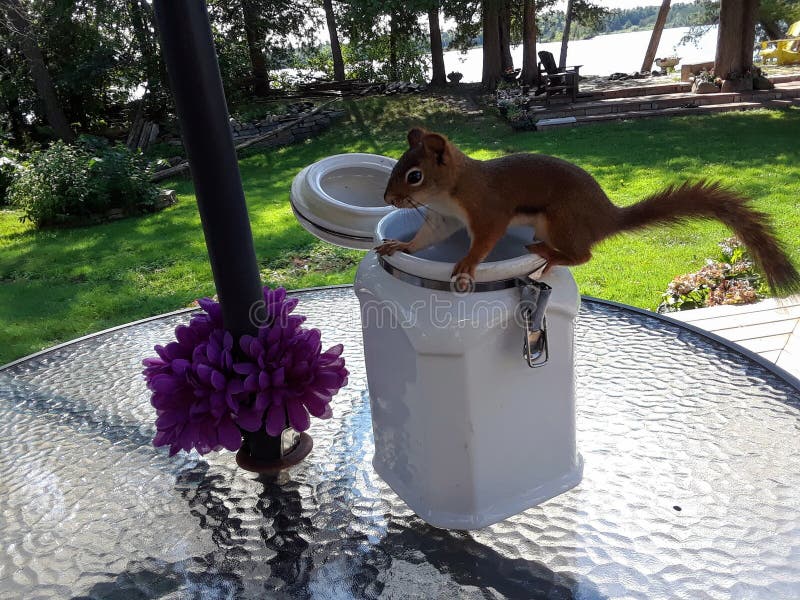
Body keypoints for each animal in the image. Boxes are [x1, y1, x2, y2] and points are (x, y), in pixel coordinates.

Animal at [376, 127, 800, 294]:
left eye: (414, 176)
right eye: (398, 167)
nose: (387, 198)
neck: (452, 190)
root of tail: (606, 218)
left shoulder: (487, 211)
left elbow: (483, 241)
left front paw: (466, 263)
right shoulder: (444, 218)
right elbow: (426, 238)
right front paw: (399, 246)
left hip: (561, 220)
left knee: (584, 255)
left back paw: (550, 255)